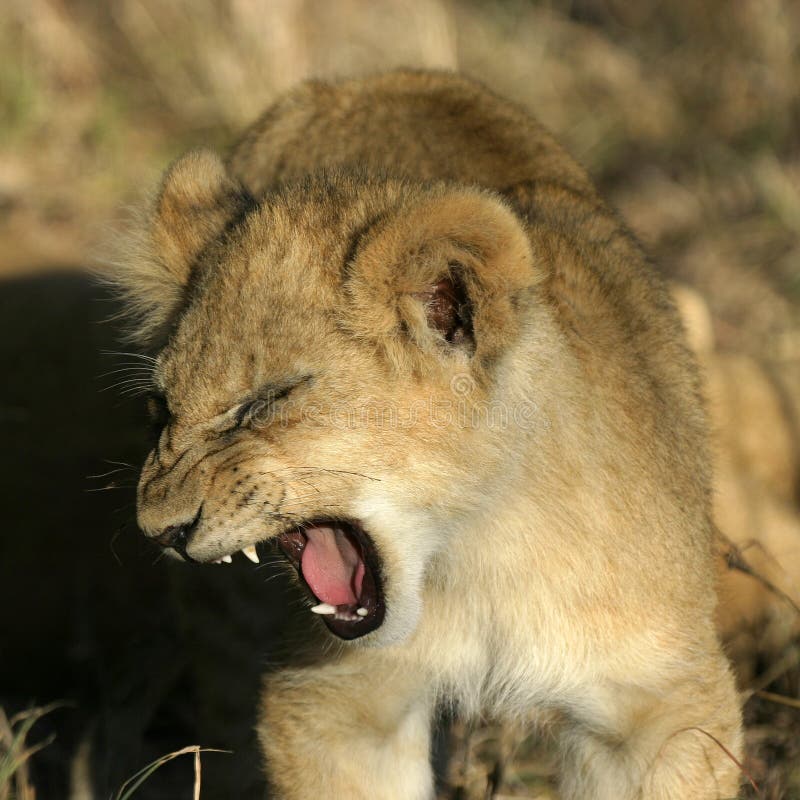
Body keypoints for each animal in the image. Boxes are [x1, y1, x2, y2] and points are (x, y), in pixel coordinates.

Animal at [110, 71, 743, 799]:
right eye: (161, 408)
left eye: (266, 401)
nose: (160, 531)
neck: (474, 551)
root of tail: (350, 83)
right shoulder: (336, 702)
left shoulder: (660, 713)